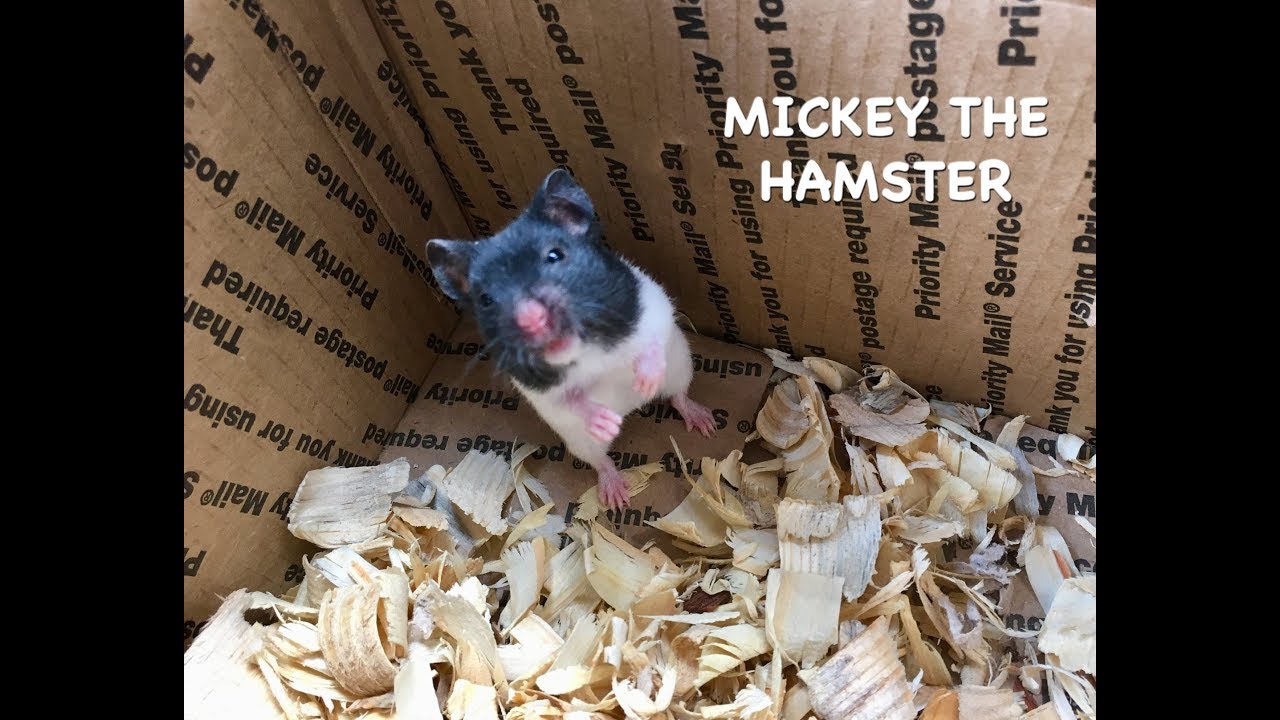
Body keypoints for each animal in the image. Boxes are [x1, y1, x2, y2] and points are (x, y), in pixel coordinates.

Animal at [425, 168, 716, 511]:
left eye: (555, 255)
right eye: (485, 298)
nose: (532, 320)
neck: (588, 351)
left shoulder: (654, 307)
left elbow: (652, 344)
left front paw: (644, 383)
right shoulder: (542, 392)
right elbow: (572, 400)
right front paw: (605, 422)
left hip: (682, 366)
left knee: (678, 396)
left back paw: (704, 422)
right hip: (580, 442)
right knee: (601, 460)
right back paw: (616, 496)